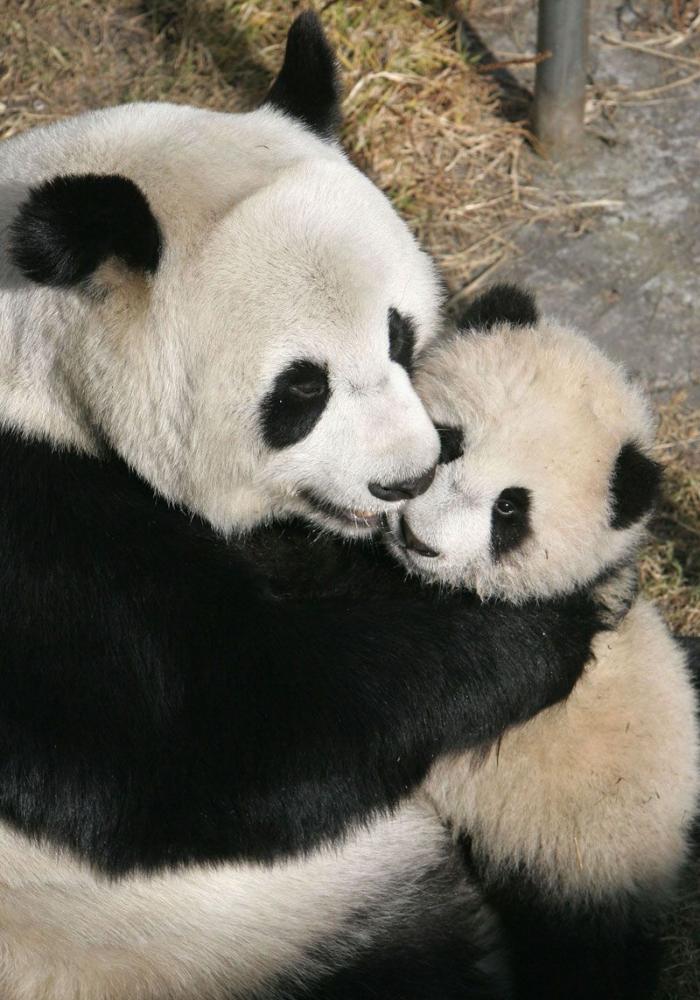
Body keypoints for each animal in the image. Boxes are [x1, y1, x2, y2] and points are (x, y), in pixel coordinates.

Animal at [0, 14, 603, 1000]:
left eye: (399, 334)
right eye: (301, 390)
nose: (406, 480)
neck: (38, 359)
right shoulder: (32, 554)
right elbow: (228, 735)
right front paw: (548, 617)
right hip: (194, 943)